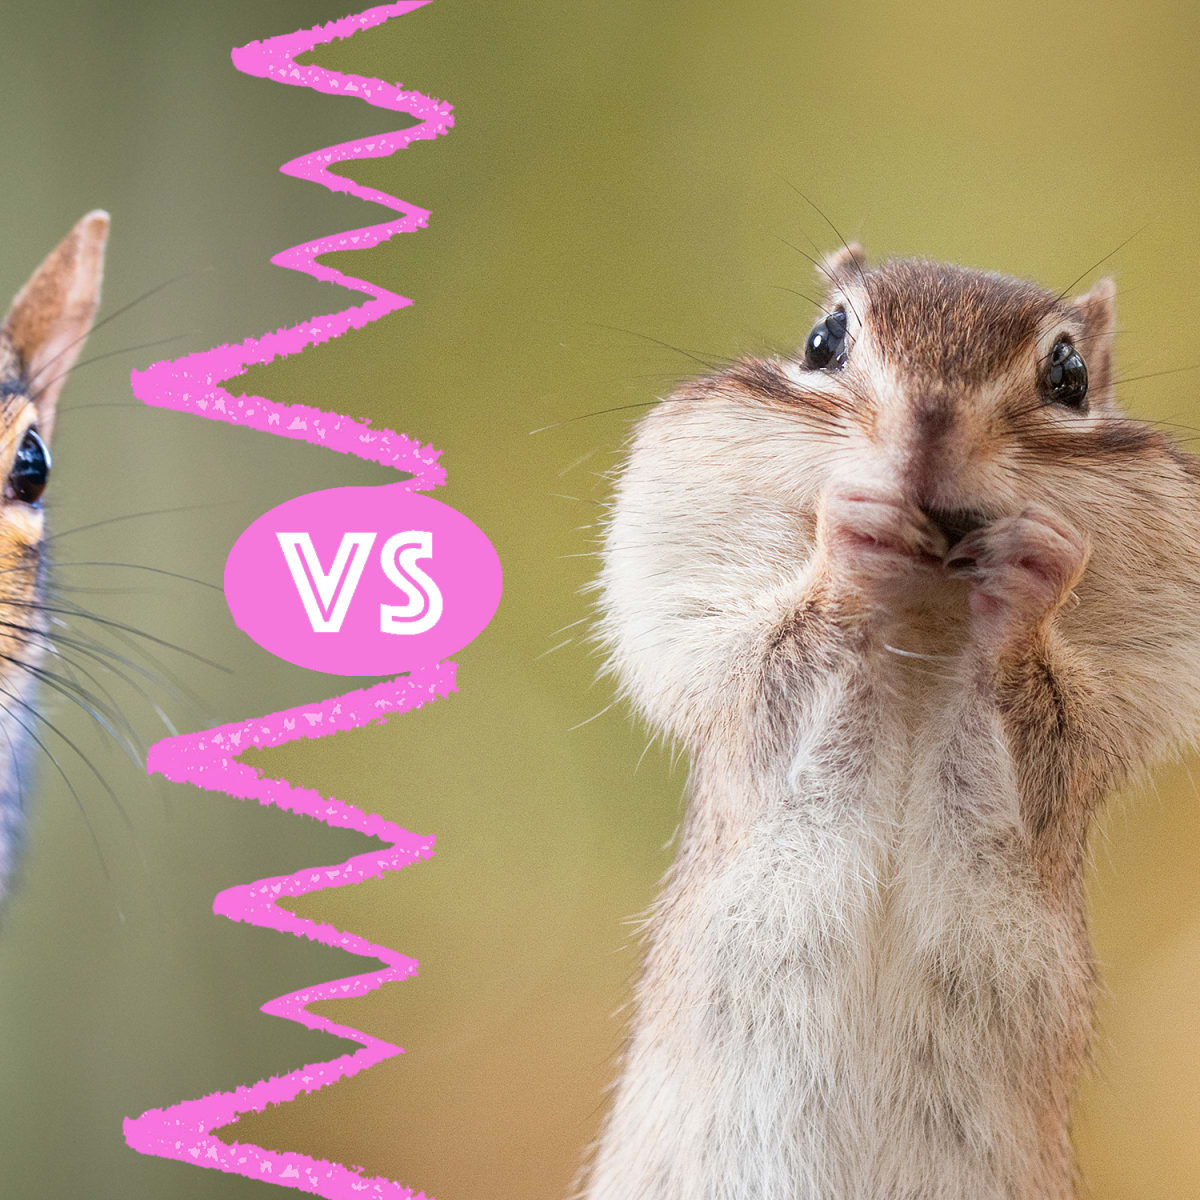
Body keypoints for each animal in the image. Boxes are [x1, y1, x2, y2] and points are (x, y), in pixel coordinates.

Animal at [583, 246, 1200, 1199]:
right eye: (823, 339)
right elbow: (770, 660)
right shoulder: (713, 629)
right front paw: (853, 535)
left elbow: (1048, 723)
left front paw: (1033, 568)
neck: (929, 598)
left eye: (1068, 376)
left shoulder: (1110, 705)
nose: (929, 430)